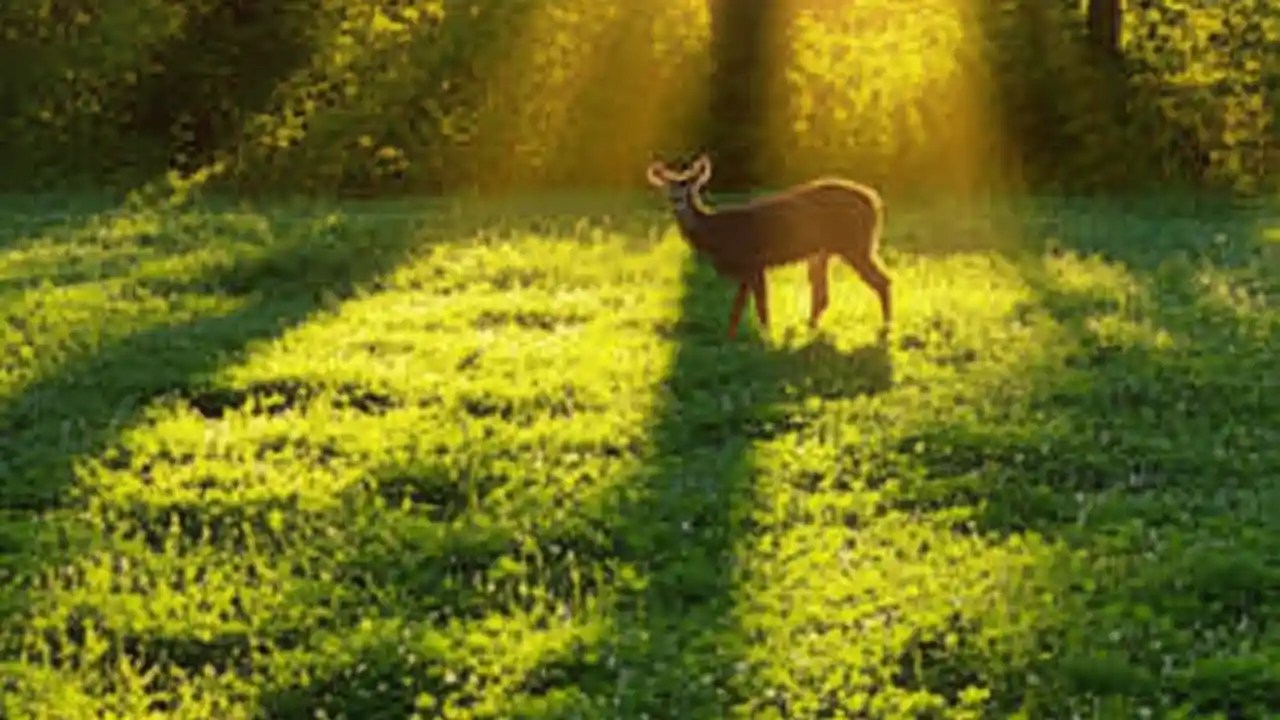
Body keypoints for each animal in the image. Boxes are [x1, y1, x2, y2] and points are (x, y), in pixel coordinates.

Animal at [645, 153, 892, 340]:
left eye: (690, 187)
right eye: (668, 187)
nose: (676, 200)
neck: (716, 233)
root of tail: (876, 202)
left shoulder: (754, 261)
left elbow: (758, 306)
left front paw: (764, 338)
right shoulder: (749, 268)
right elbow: (740, 308)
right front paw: (732, 340)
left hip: (856, 245)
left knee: (882, 281)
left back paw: (885, 329)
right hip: (824, 251)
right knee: (822, 294)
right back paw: (810, 330)